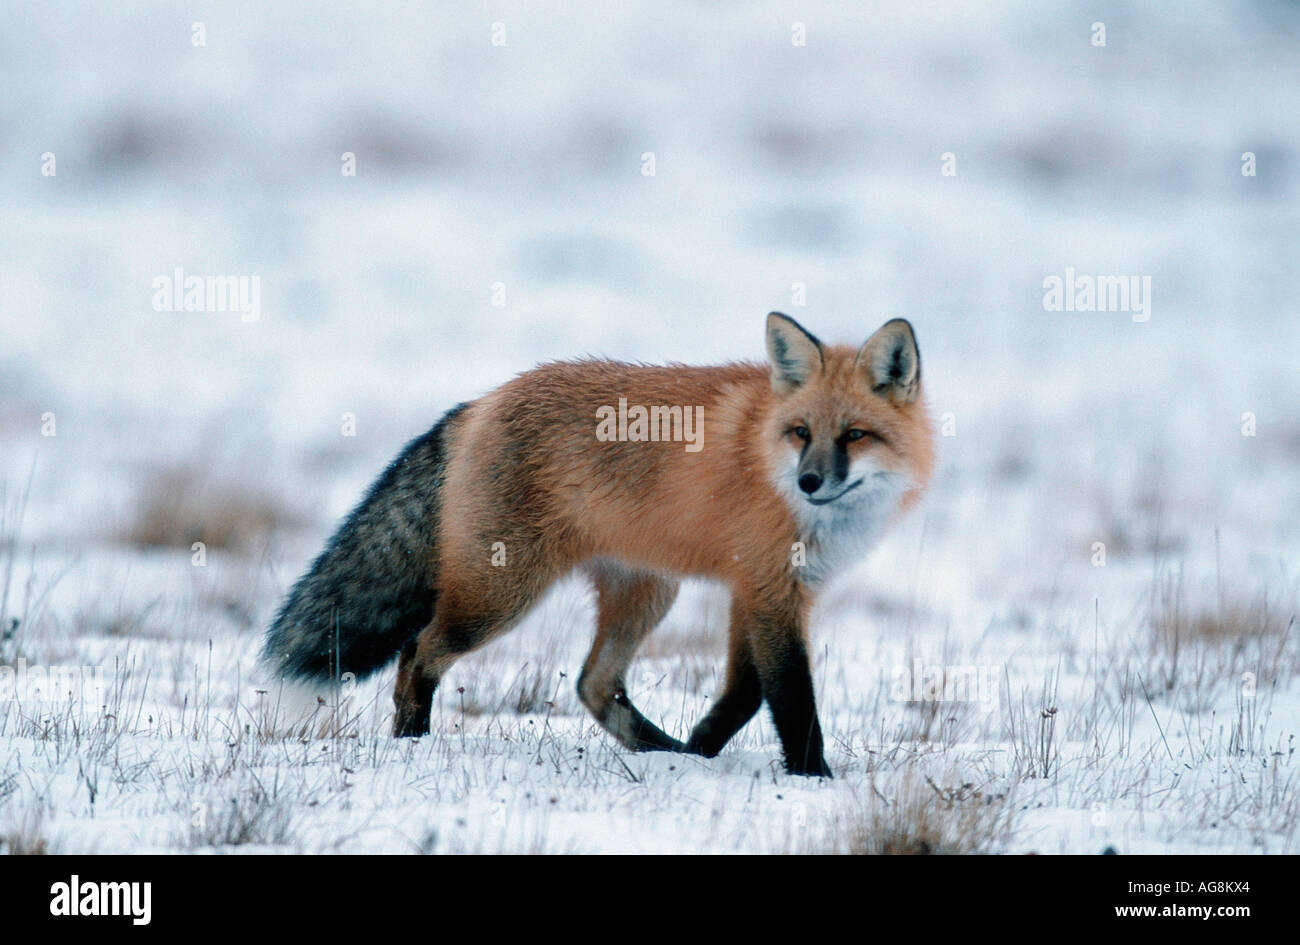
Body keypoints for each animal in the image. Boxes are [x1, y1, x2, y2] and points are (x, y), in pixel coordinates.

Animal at [262, 313, 934, 776]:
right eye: (801, 433)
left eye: (854, 435)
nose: (809, 482)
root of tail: (481, 401)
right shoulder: (770, 593)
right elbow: (792, 699)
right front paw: (815, 778)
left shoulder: (764, 592)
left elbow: (745, 694)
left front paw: (703, 750)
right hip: (501, 595)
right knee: (416, 653)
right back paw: (412, 739)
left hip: (646, 593)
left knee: (590, 682)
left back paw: (663, 752)